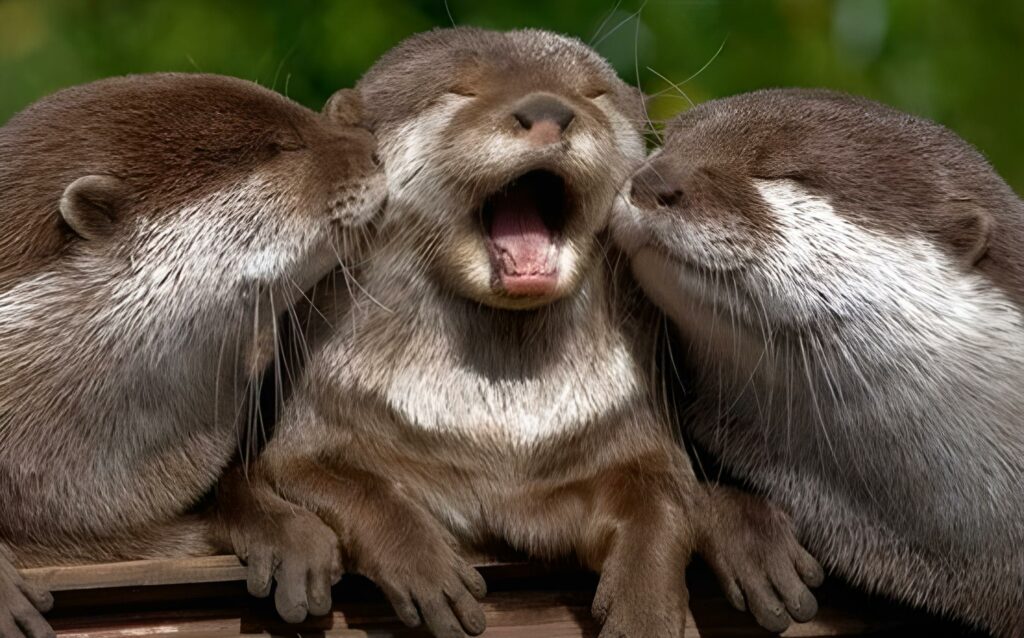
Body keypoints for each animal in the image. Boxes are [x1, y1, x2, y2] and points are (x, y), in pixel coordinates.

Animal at [217, 29, 822, 637]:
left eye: (592, 93)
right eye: (460, 90)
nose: (549, 111)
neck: (498, 439)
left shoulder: (629, 433)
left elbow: (662, 499)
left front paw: (645, 609)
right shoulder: (318, 417)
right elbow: (343, 482)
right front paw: (425, 567)